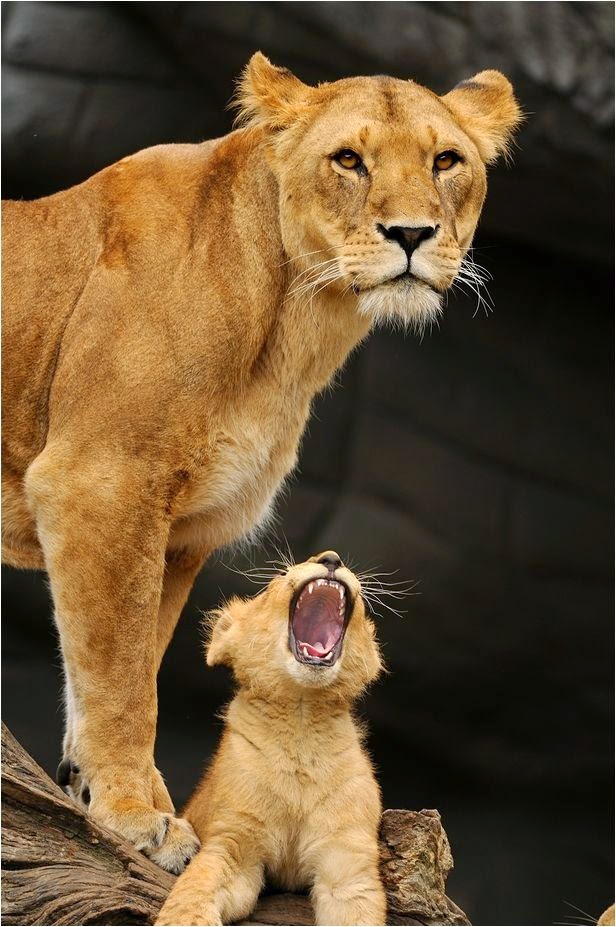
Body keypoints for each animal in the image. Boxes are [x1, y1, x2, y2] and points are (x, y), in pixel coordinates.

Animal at [1, 52, 521, 871]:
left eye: (446, 161)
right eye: (349, 160)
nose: (412, 233)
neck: (296, 318)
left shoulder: (178, 531)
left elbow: (132, 662)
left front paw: (118, 792)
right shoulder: (99, 483)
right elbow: (119, 677)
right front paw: (133, 815)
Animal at [155, 550, 385, 927]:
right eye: (278, 575)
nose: (332, 558)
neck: (302, 722)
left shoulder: (347, 862)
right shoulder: (233, 842)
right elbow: (196, 889)